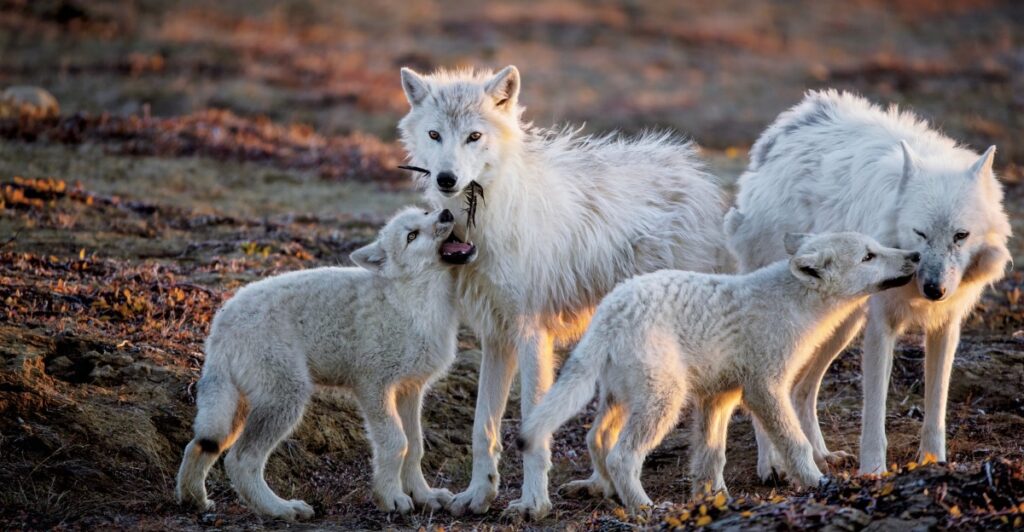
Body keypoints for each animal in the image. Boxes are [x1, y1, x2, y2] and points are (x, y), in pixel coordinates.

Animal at [175, 207, 472, 521]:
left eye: (426, 213)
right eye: (411, 236)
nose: (445, 212)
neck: (414, 301)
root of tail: (221, 322)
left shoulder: (410, 390)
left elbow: (415, 447)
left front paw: (424, 496)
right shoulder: (373, 388)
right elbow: (396, 443)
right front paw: (391, 498)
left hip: (236, 410)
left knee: (198, 446)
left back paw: (194, 501)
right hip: (286, 399)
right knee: (240, 460)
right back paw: (281, 509)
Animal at [397, 65, 733, 517]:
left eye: (474, 136)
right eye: (434, 134)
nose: (446, 179)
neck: (485, 219)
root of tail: (699, 179)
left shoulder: (530, 335)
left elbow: (533, 429)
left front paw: (533, 504)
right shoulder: (495, 338)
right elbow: (482, 429)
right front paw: (478, 495)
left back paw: (714, 490)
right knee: (602, 434)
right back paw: (600, 485)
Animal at [519, 232, 920, 514]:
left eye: (876, 247)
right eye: (868, 256)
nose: (915, 255)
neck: (793, 304)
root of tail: (608, 314)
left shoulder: (720, 396)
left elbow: (711, 456)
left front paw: (712, 499)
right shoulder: (765, 387)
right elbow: (795, 443)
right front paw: (816, 482)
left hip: (622, 399)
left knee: (595, 439)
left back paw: (610, 493)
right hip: (664, 402)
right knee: (622, 456)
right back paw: (645, 508)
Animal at [727, 90, 1011, 476]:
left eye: (960, 235)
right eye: (920, 233)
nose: (934, 289)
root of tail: (788, 126)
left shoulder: (946, 326)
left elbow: (936, 406)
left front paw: (934, 462)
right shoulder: (881, 326)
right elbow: (875, 412)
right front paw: (874, 471)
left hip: (839, 326)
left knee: (801, 390)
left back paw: (822, 455)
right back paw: (771, 464)